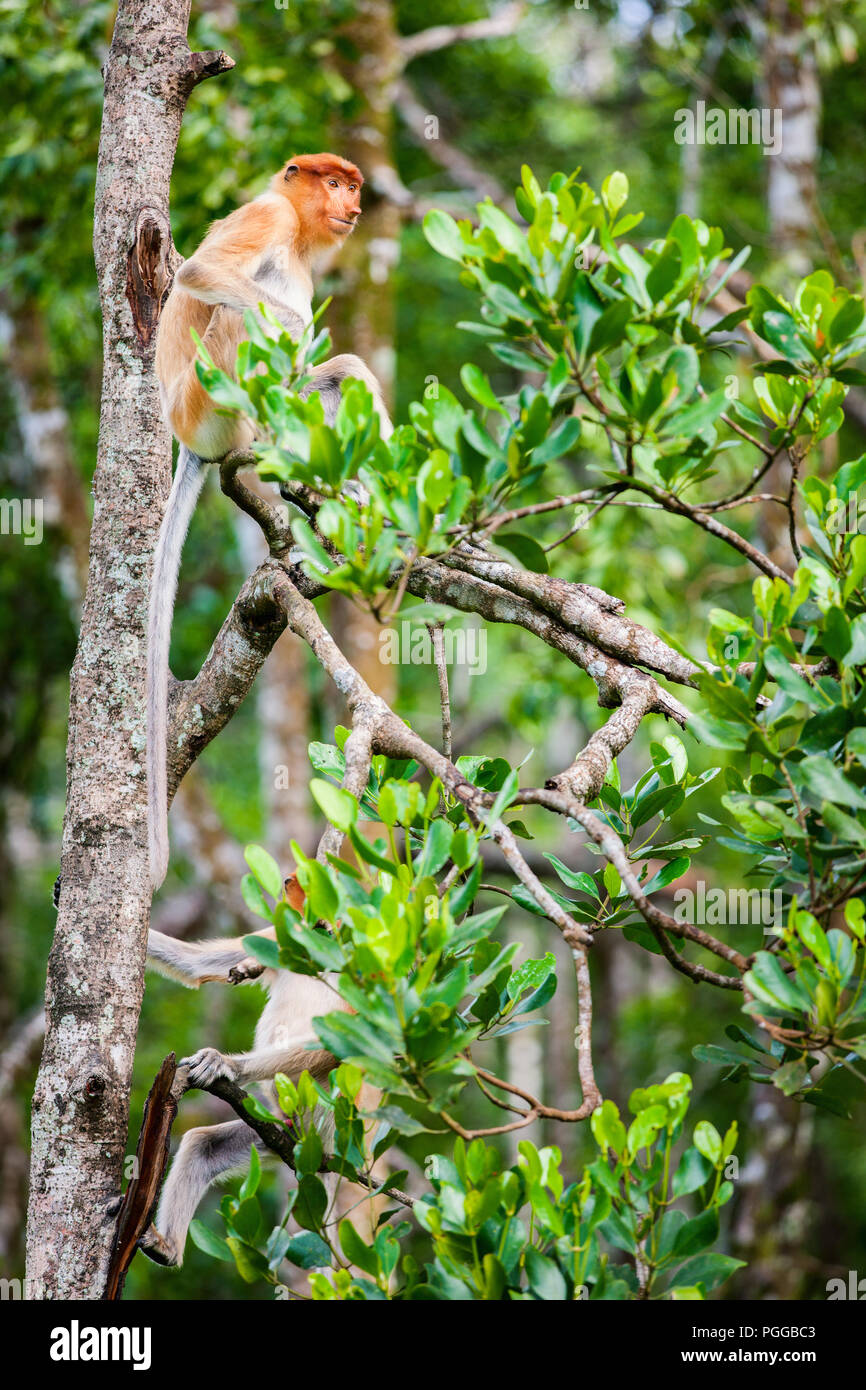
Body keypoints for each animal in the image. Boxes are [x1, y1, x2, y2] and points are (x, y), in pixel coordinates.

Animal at [139, 875, 354, 1267]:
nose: (288, 882)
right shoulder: (276, 937)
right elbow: (197, 965)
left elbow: (340, 1041)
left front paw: (224, 1064)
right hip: (273, 1131)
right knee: (202, 1145)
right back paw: (165, 1247)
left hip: (321, 1118)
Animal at [148, 154, 392, 890]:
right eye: (333, 181)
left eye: (353, 186)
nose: (352, 205)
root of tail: (187, 438)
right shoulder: (271, 217)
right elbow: (203, 272)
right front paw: (298, 326)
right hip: (213, 398)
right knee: (249, 313)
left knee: (341, 375)